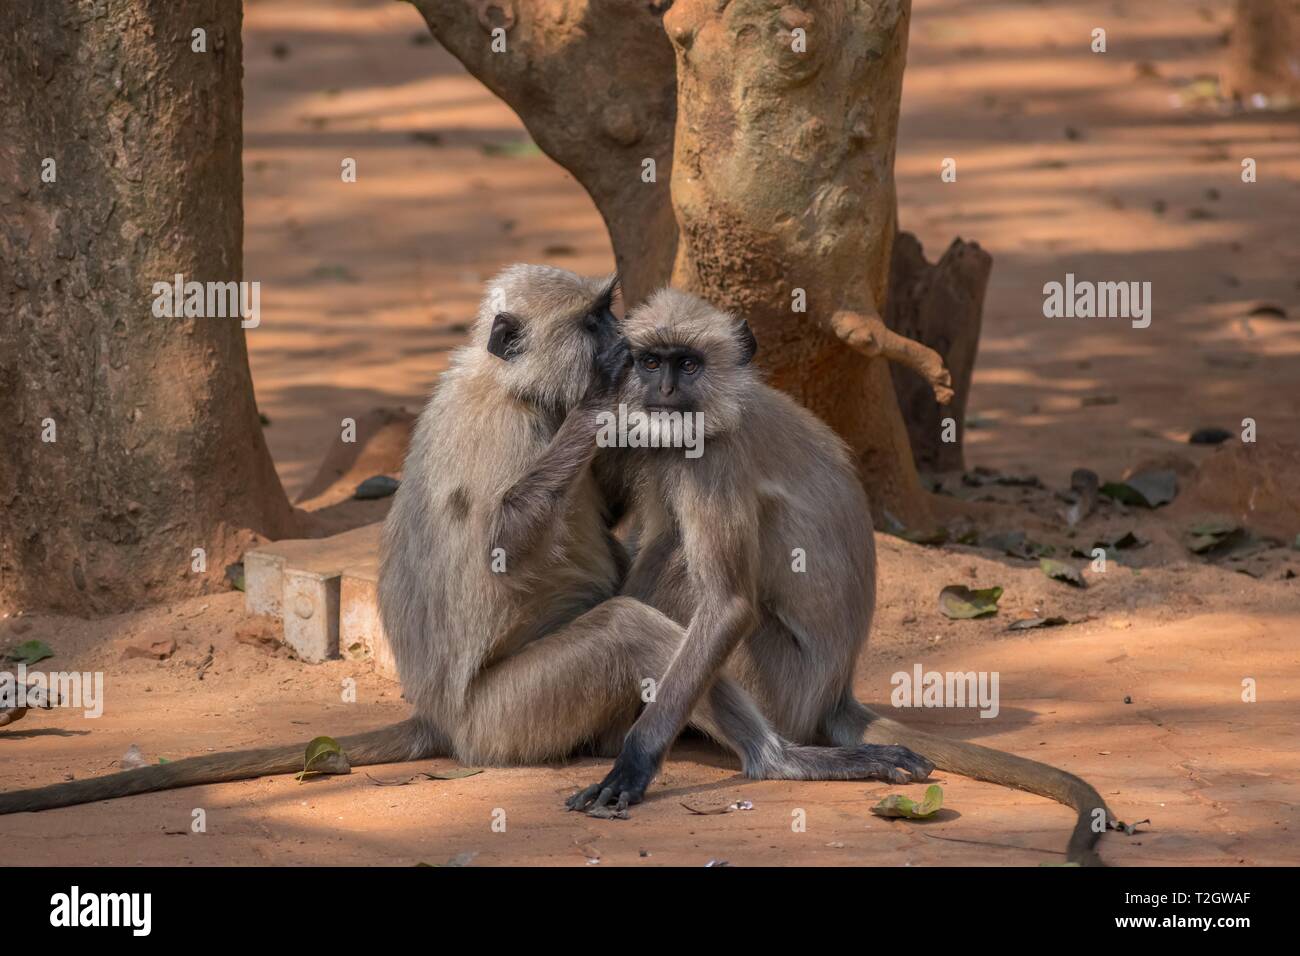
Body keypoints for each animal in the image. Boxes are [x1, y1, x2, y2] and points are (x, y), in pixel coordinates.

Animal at [566, 288, 1113, 865]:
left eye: (688, 365)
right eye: (651, 362)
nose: (665, 391)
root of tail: (835, 691)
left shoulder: (712, 456)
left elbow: (728, 605)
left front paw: (635, 761)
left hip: (778, 684)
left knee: (683, 574)